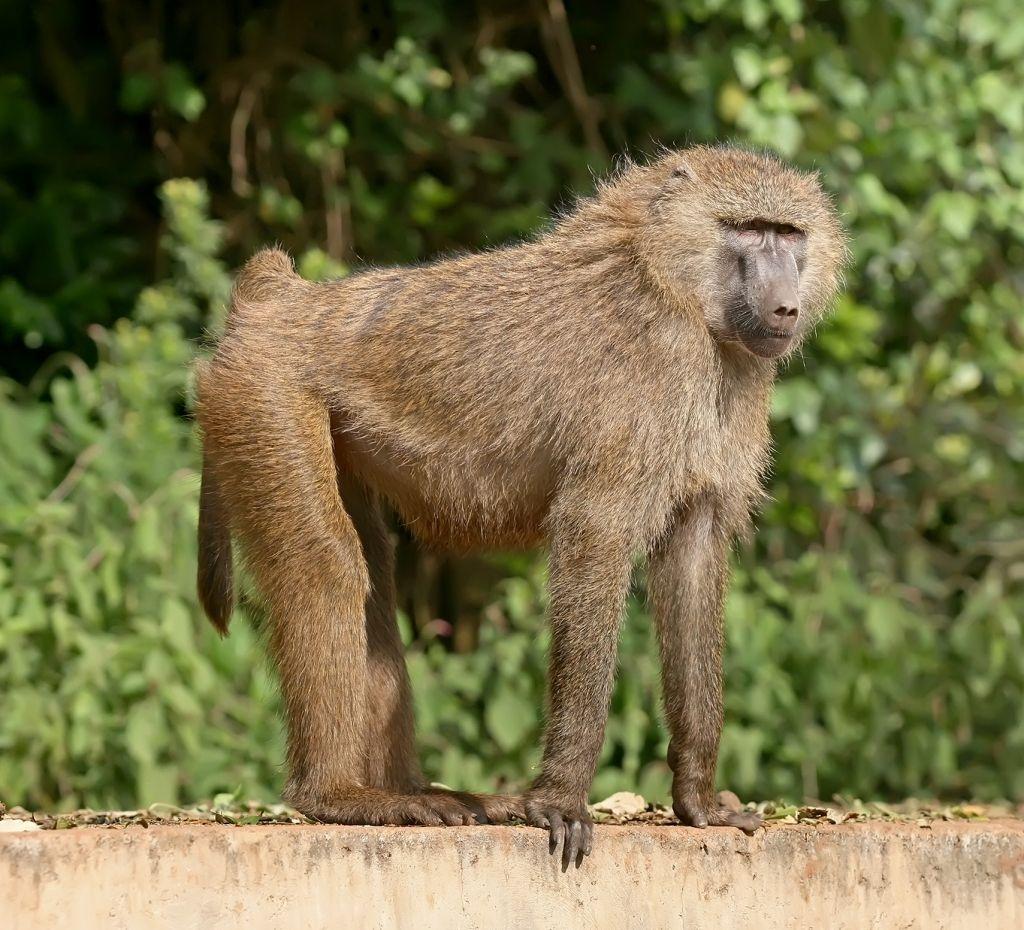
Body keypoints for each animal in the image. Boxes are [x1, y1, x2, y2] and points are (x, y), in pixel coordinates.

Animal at [195, 144, 847, 867]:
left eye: (789, 234)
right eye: (749, 230)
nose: (785, 308)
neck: (674, 285)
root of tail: (283, 301)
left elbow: (694, 559)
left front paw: (699, 801)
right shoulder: (652, 378)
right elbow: (594, 534)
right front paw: (561, 801)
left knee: (373, 591)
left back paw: (411, 792)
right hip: (267, 395)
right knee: (328, 568)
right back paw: (340, 796)